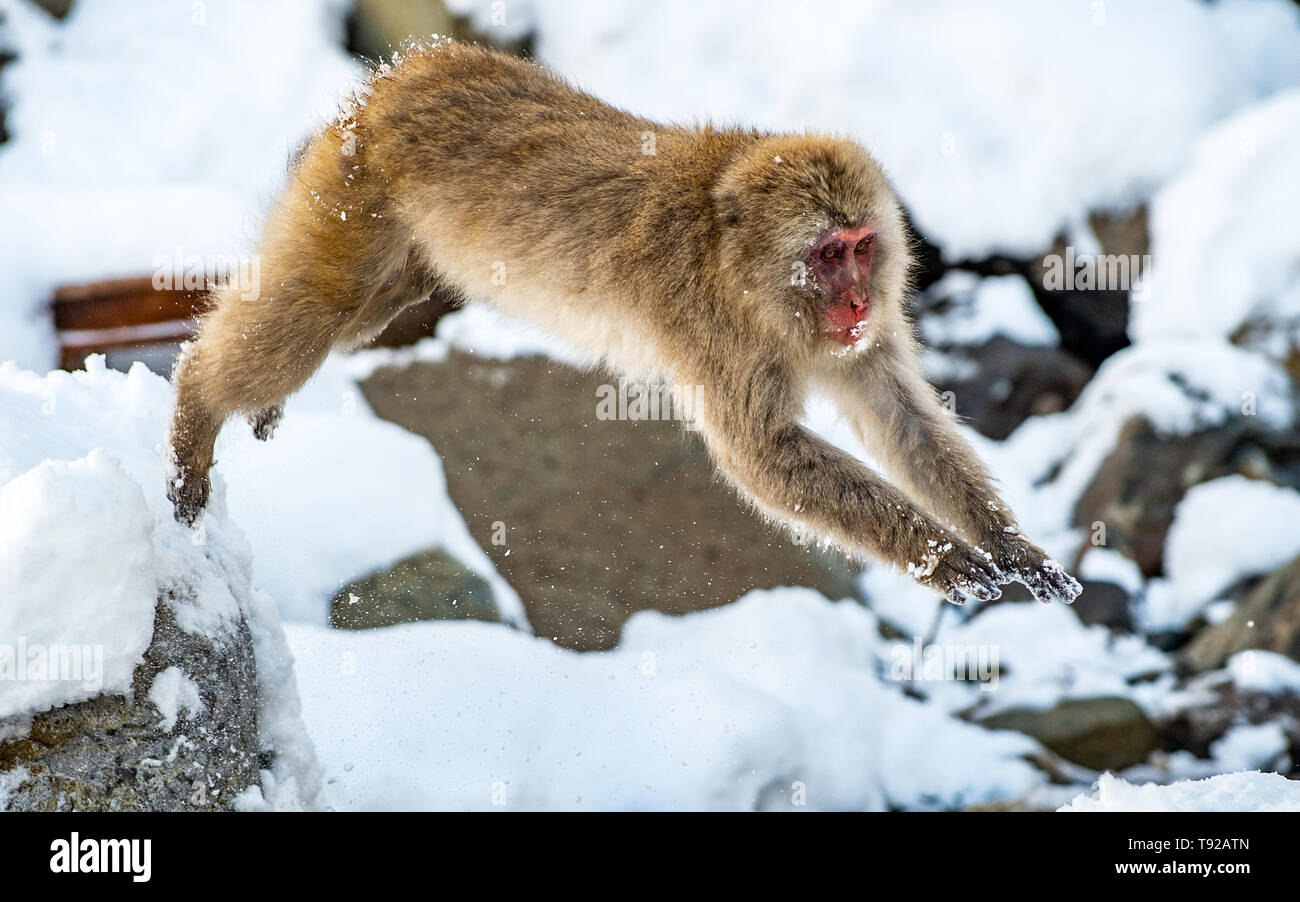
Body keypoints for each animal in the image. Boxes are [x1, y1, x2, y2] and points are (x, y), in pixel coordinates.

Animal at [167, 39, 1081, 607]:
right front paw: (951, 560)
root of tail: (398, 74)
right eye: (826, 256)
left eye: (862, 247)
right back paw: (194, 412)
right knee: (313, 311)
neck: (742, 270)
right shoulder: (722, 339)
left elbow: (904, 420)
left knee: (349, 322)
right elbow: (766, 460)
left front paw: (1013, 550)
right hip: (351, 193)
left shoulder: (862, 340)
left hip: (399, 242)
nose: (858, 301)